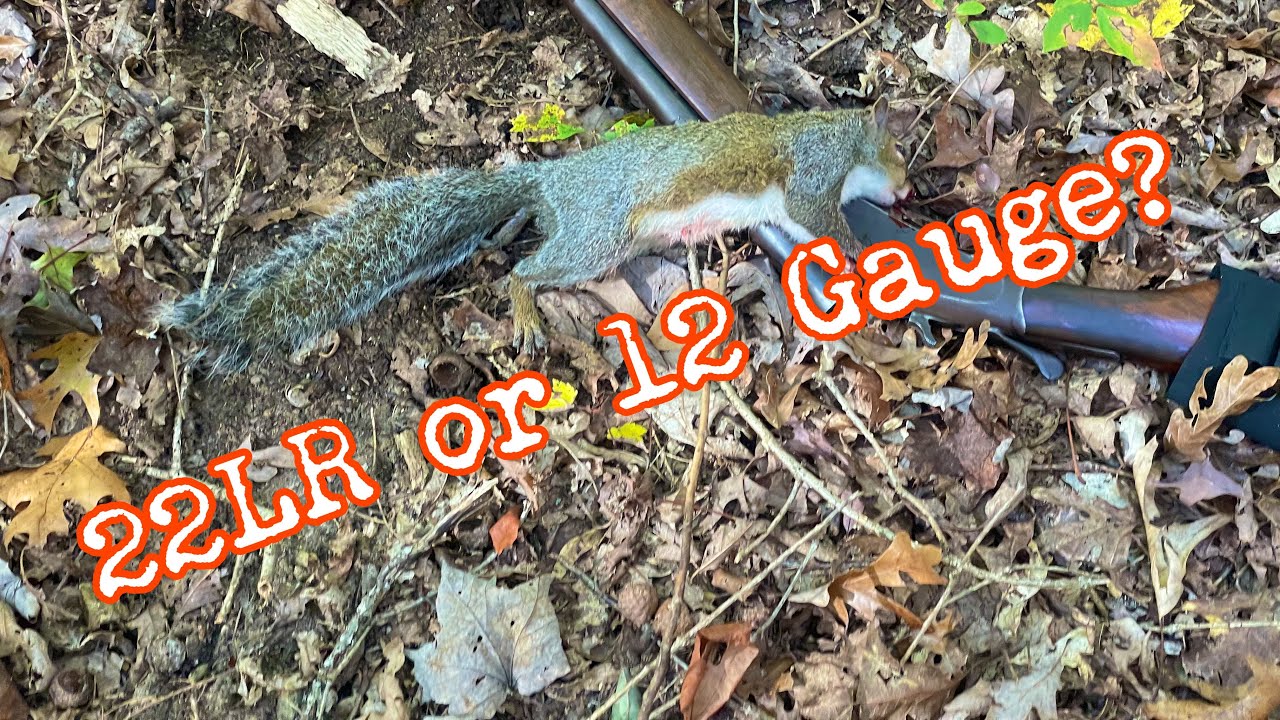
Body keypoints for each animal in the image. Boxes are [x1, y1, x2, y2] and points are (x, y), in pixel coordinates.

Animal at [158, 102, 910, 372]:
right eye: (898, 149)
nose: (905, 189)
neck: (842, 134)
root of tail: (551, 183)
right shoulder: (813, 173)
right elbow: (821, 217)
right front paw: (860, 255)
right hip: (598, 236)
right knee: (523, 274)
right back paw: (522, 312)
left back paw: (512, 226)